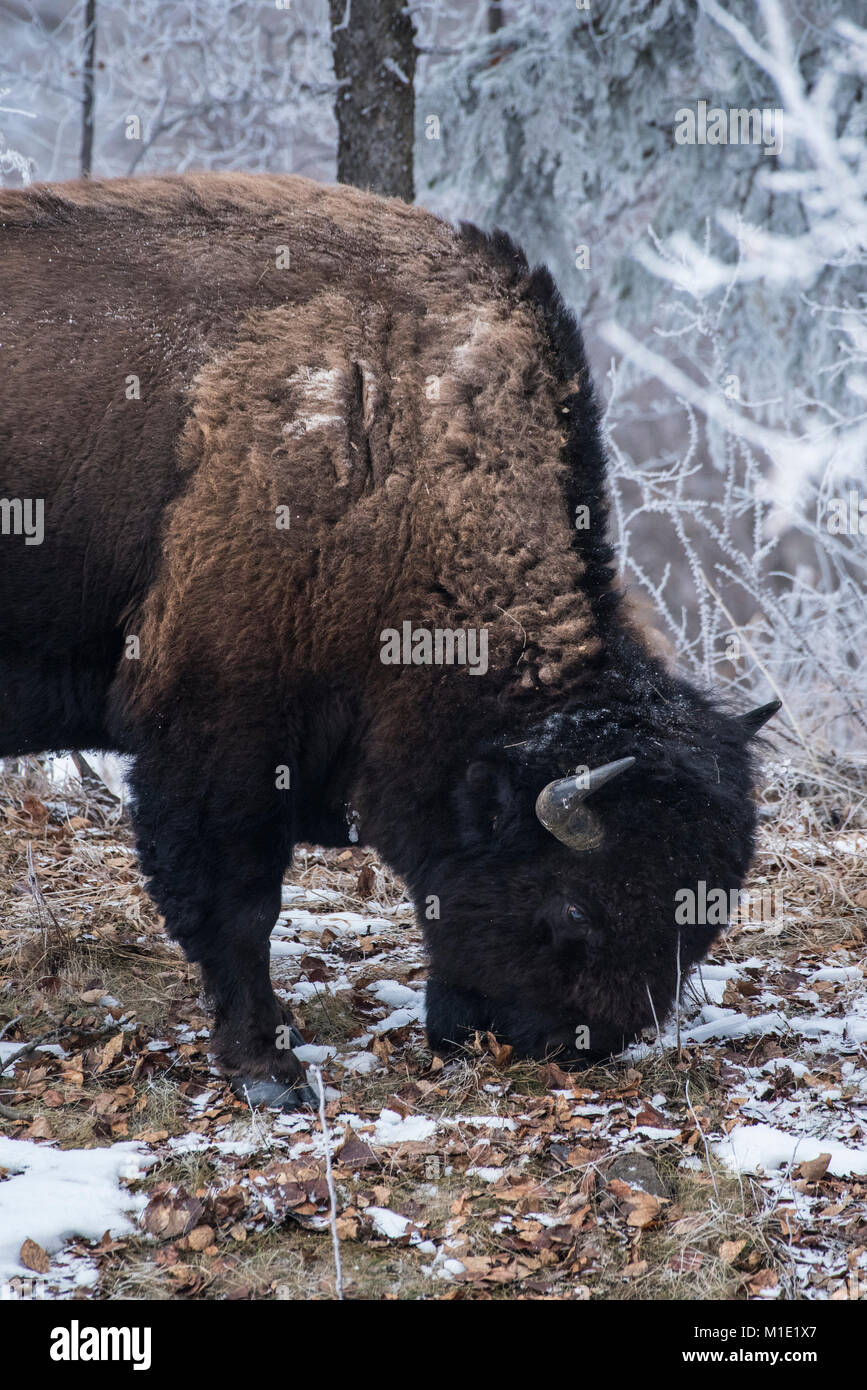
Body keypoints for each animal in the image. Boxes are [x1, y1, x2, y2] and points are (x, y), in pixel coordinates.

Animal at [0, 174, 778, 1106]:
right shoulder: (218, 737)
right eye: (572, 914)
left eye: (703, 923)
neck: (400, 465)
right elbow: (236, 905)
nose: (568, 1050)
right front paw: (269, 1068)